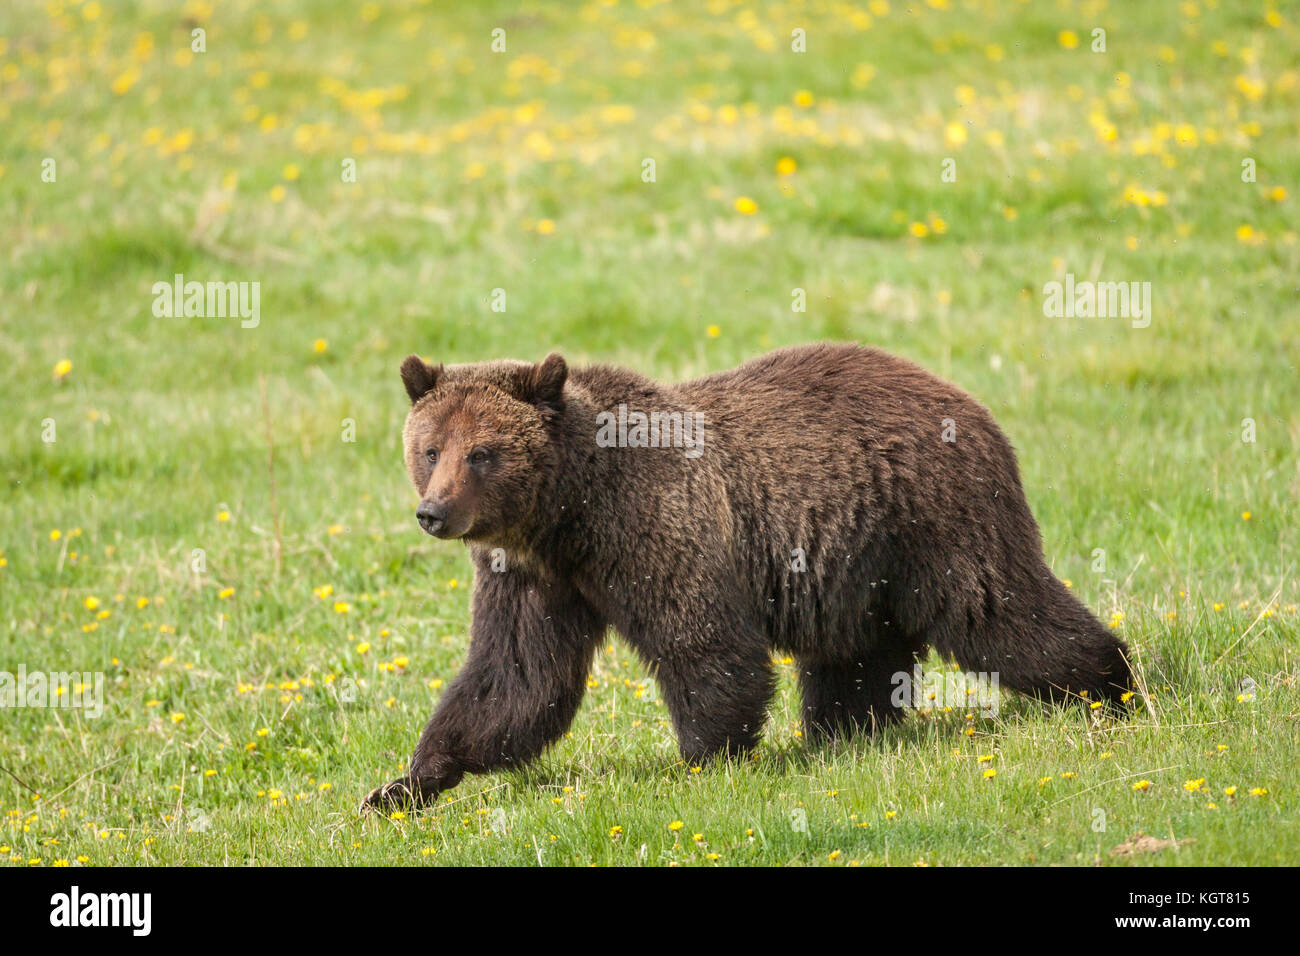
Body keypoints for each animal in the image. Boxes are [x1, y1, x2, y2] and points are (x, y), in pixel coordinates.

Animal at [362, 342, 1131, 810]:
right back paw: (848, 734)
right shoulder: (535, 575)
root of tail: (968, 401)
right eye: (430, 449)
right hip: (859, 560)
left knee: (998, 610)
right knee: (856, 656)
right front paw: (405, 784)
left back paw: (1115, 683)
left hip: (936, 517)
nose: (434, 512)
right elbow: (516, 678)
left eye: (482, 452)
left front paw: (704, 759)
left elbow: (704, 645)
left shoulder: (654, 527)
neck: (571, 511)